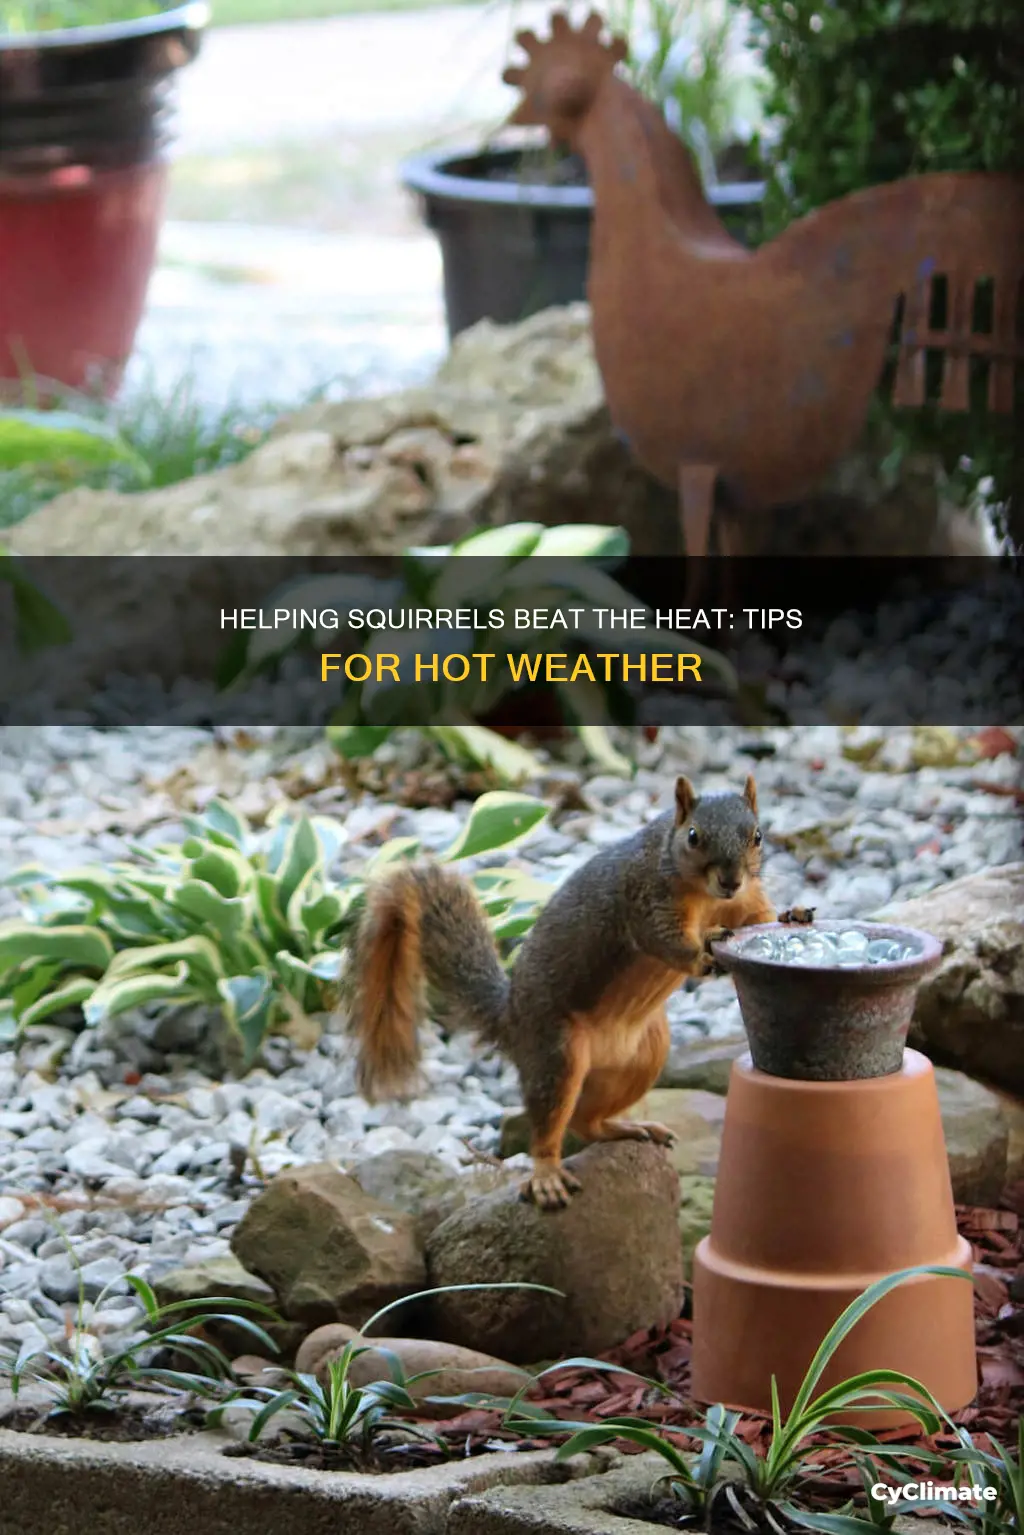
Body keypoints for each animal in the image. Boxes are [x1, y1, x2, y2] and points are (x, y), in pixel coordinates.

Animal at [345, 774, 777, 1211]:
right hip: (556, 1054)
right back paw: (547, 1175)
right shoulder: (646, 898)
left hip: (643, 1057)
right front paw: (704, 951)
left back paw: (626, 1128)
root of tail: (511, 1018)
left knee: (586, 1122)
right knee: (551, 1122)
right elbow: (664, 941)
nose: (731, 880)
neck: (706, 896)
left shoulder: (747, 901)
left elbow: (763, 918)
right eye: (693, 837)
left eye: (757, 835)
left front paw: (791, 915)